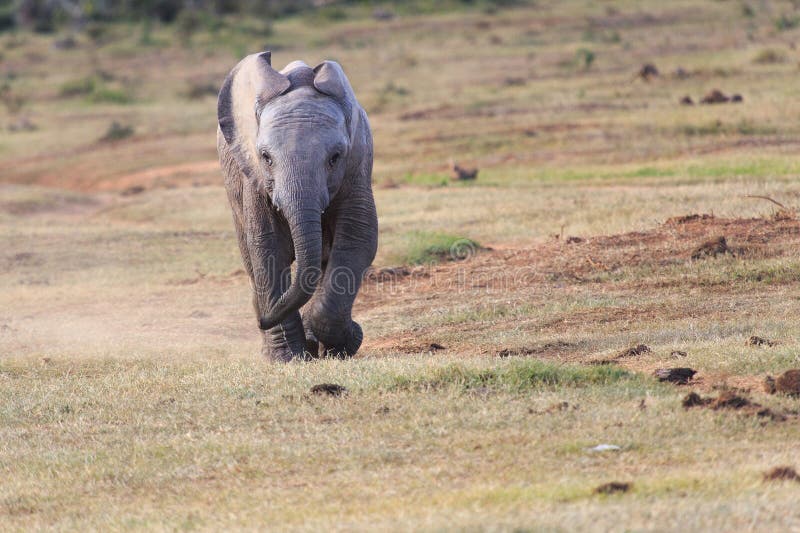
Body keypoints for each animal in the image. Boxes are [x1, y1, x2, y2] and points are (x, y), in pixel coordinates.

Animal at [216, 51, 378, 362]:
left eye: (335, 157)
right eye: (265, 157)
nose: (260, 320)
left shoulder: (358, 162)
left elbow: (357, 238)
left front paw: (346, 343)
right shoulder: (254, 179)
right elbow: (268, 247)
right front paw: (288, 359)